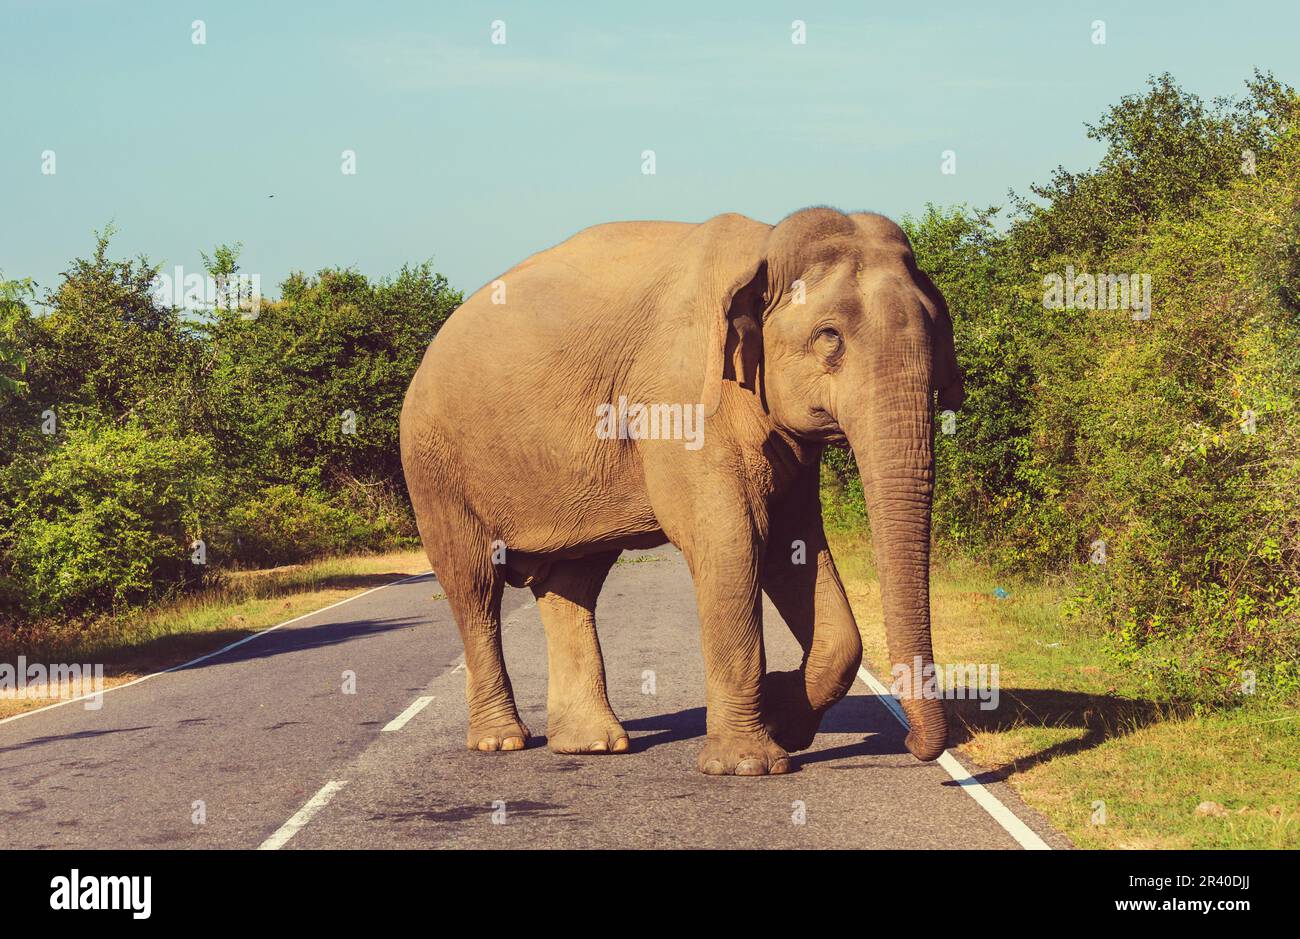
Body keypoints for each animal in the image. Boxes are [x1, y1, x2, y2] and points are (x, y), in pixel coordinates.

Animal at [399, 206, 964, 776]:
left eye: (937, 333)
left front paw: (783, 718)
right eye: (830, 337)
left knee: (572, 582)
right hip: (434, 463)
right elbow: (733, 542)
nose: (914, 745)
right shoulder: (682, 398)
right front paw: (749, 764)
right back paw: (503, 741)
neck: (762, 249)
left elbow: (793, 547)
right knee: (474, 585)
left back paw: (592, 745)